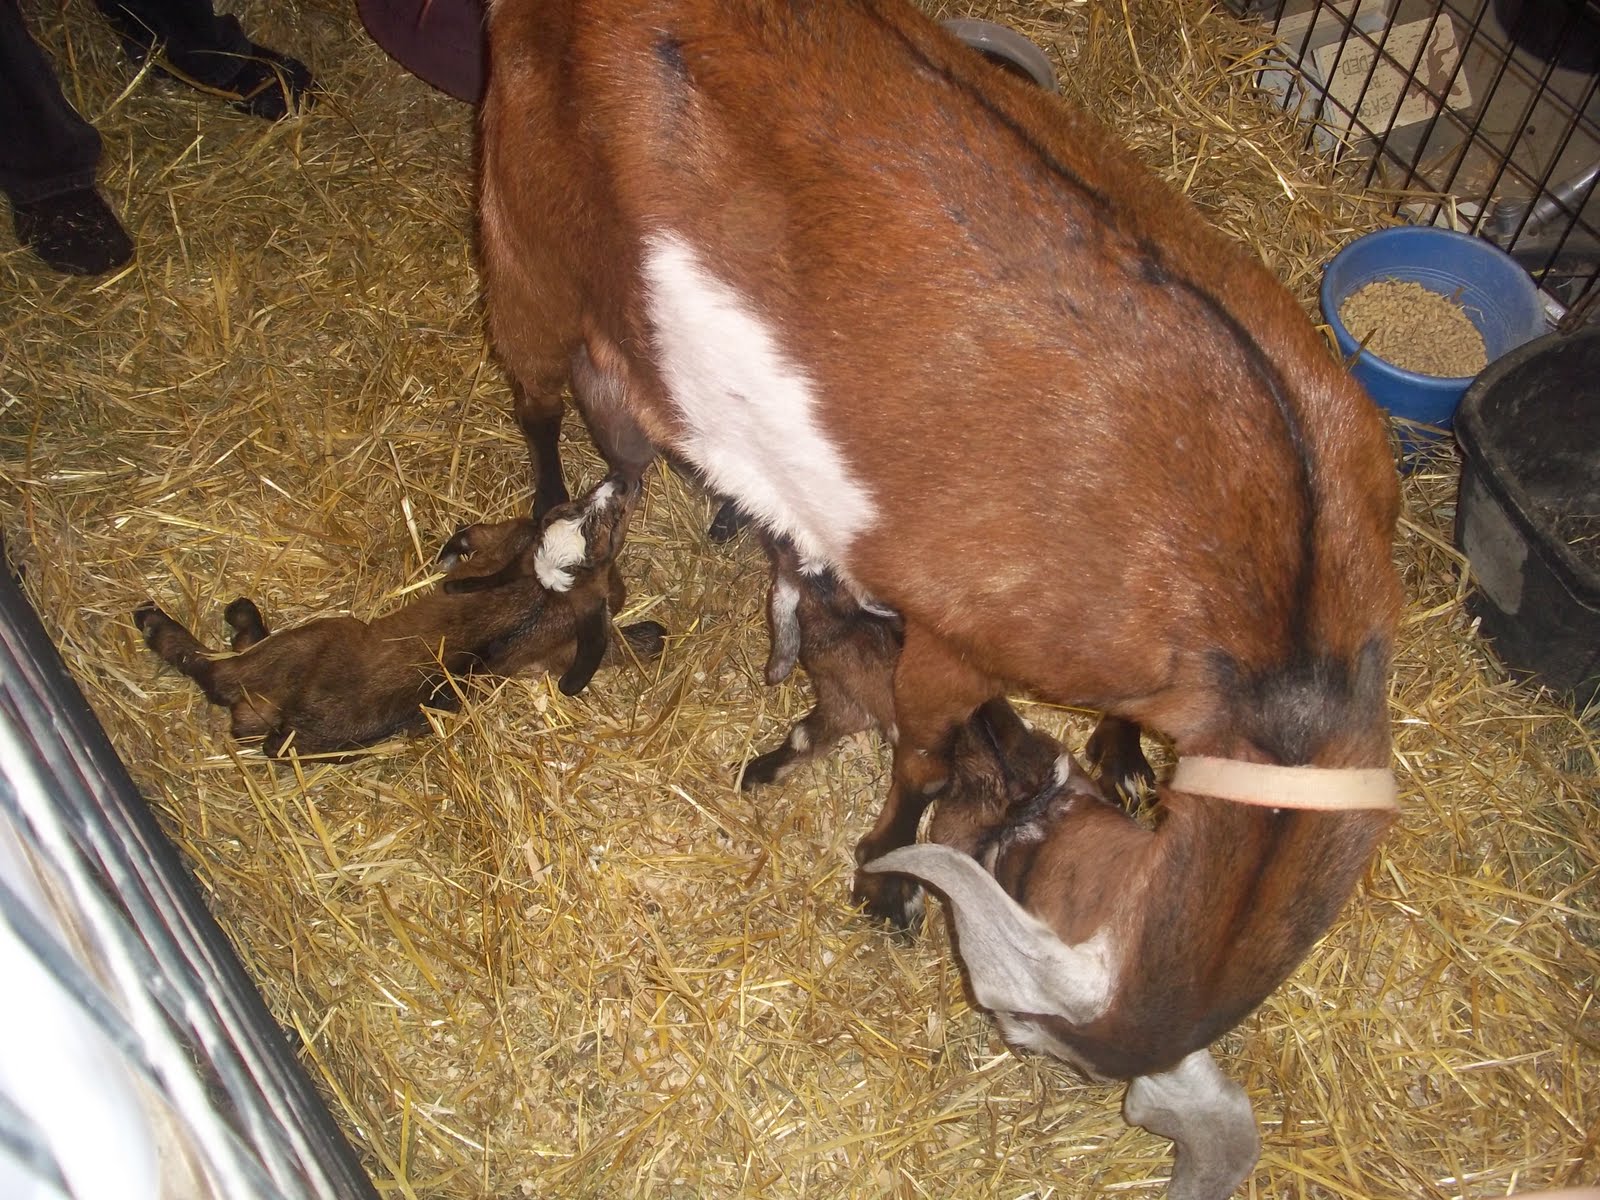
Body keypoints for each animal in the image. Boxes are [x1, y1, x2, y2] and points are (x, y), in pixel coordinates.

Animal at [135, 474, 663, 755]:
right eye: (579, 504)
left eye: (611, 520)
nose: (624, 479)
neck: (545, 590)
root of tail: (290, 726)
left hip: (318, 637)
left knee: (220, 677)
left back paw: (181, 620)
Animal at [479, 2, 1402, 1193]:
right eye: (1010, 1022)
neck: (1278, 580)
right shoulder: (956, 639)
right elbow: (918, 757)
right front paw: (881, 875)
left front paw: (1124, 761)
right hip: (522, 236)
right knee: (536, 401)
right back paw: (552, 520)